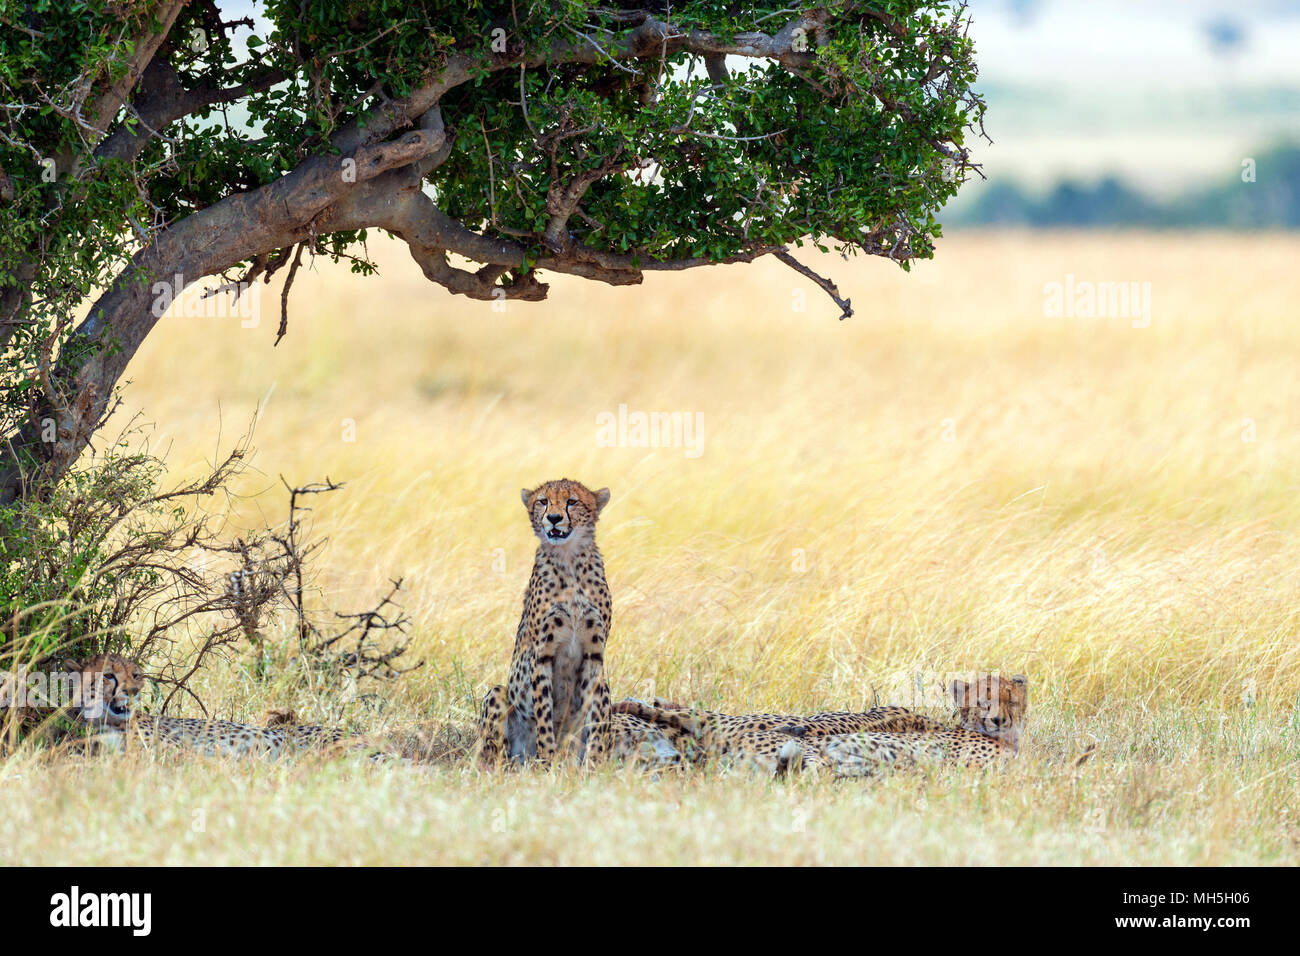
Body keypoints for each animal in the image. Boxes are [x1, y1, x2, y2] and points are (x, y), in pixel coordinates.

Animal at [475, 479, 615, 767]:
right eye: (543, 501)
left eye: (572, 501)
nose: (553, 518)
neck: (570, 560)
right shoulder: (542, 653)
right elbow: (544, 714)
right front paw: (548, 761)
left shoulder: (594, 654)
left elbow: (592, 715)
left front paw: (592, 762)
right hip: (499, 696)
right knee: (495, 752)